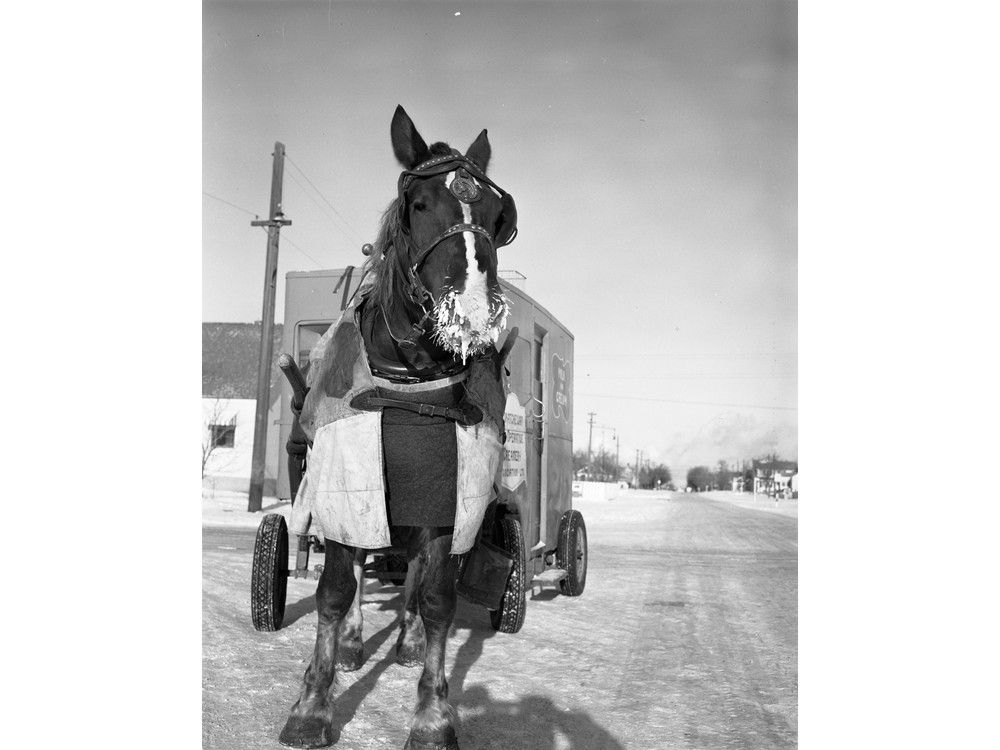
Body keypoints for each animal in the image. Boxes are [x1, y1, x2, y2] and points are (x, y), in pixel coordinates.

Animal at [279, 105, 517, 750]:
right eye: (418, 203)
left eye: (498, 217)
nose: (474, 309)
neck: (409, 385)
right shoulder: (347, 479)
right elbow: (336, 589)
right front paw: (313, 704)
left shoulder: (445, 498)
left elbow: (434, 597)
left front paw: (432, 713)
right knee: (363, 562)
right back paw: (355, 641)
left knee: (407, 571)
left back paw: (405, 639)